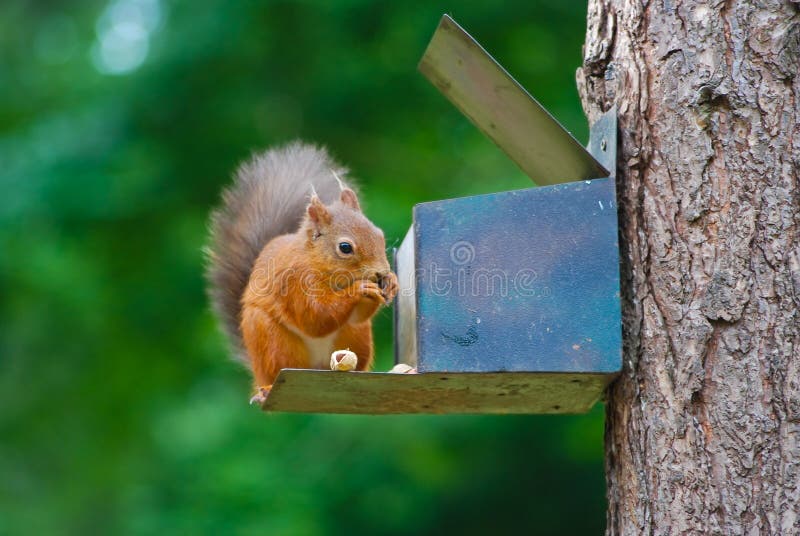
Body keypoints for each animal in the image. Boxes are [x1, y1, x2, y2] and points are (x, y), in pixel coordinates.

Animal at [206, 141, 398, 404]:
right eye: (345, 247)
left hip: (356, 337)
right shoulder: (294, 280)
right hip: (272, 342)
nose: (380, 273)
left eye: (379, 234)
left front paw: (393, 282)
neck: (321, 265)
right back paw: (266, 391)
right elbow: (314, 318)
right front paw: (360, 288)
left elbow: (356, 316)